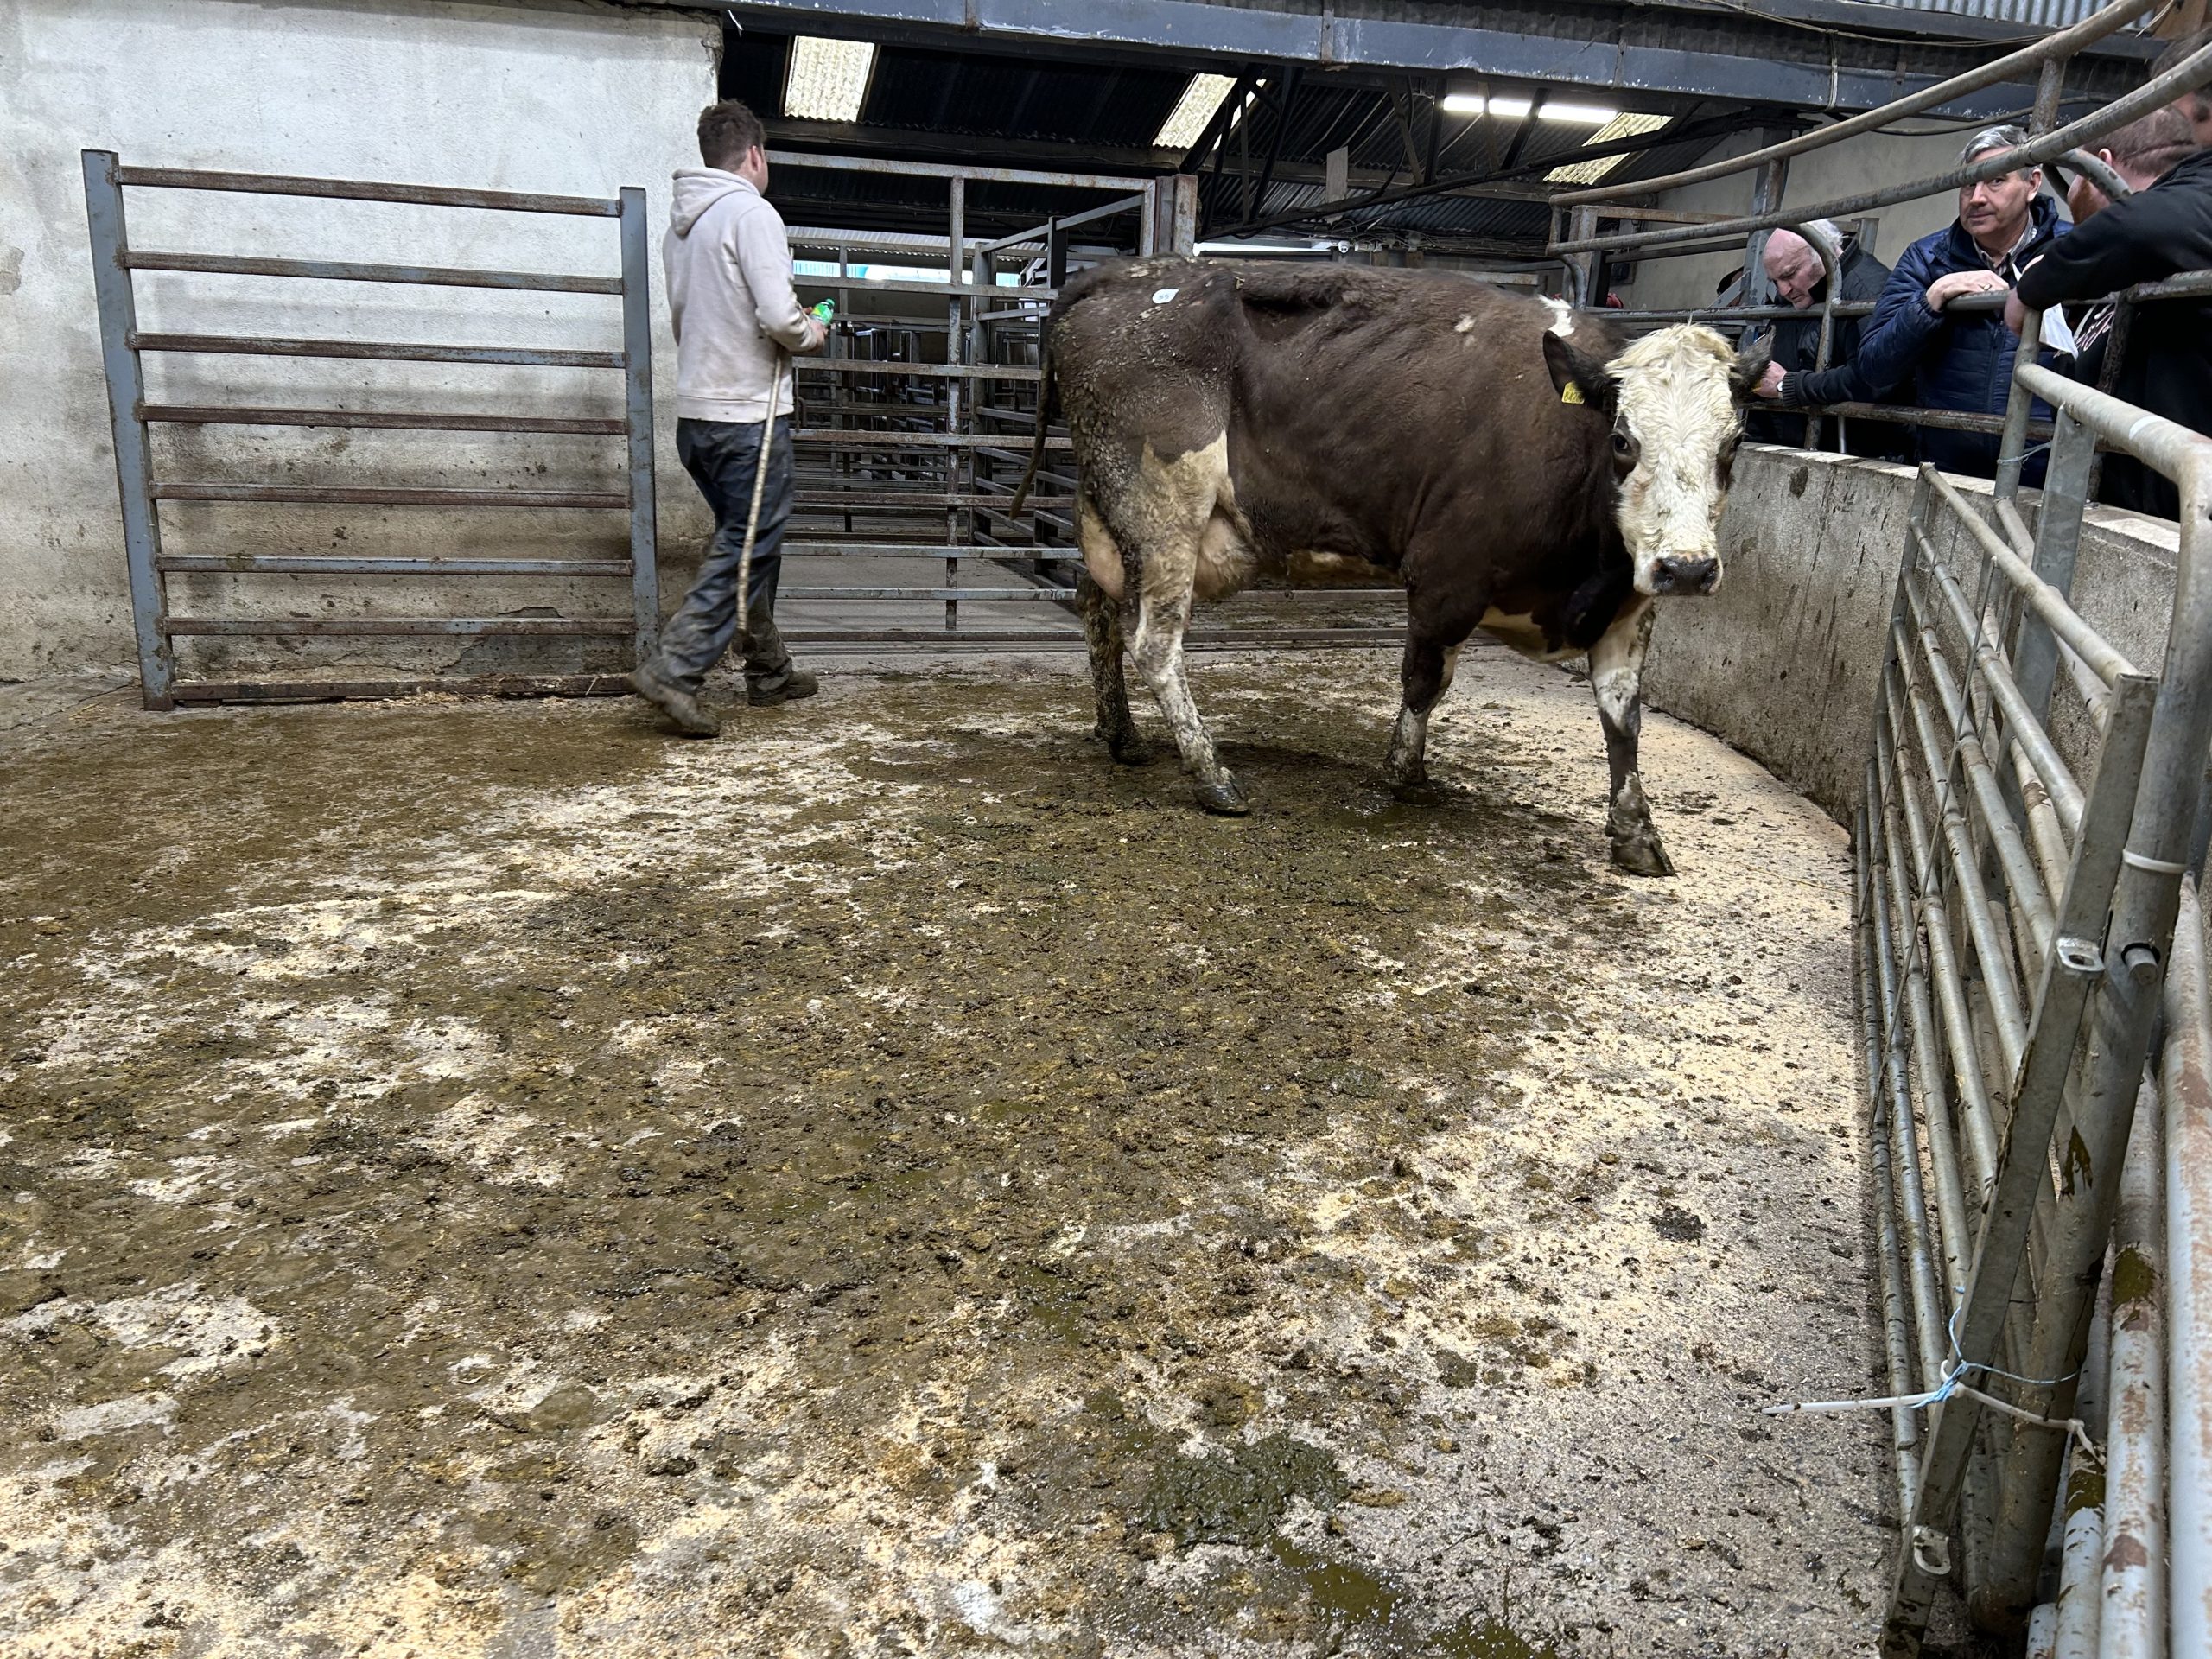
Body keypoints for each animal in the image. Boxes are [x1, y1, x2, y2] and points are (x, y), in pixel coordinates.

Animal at [1011, 258, 1769, 876]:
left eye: (1733, 443)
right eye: (1622, 440)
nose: (1689, 569)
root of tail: (1121, 274)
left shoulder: (1631, 604)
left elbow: (1623, 714)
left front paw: (1637, 832)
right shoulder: (1446, 576)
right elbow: (1425, 679)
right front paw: (1402, 775)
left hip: (1109, 515)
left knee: (1097, 608)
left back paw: (1123, 736)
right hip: (1163, 508)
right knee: (1154, 643)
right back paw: (1212, 776)